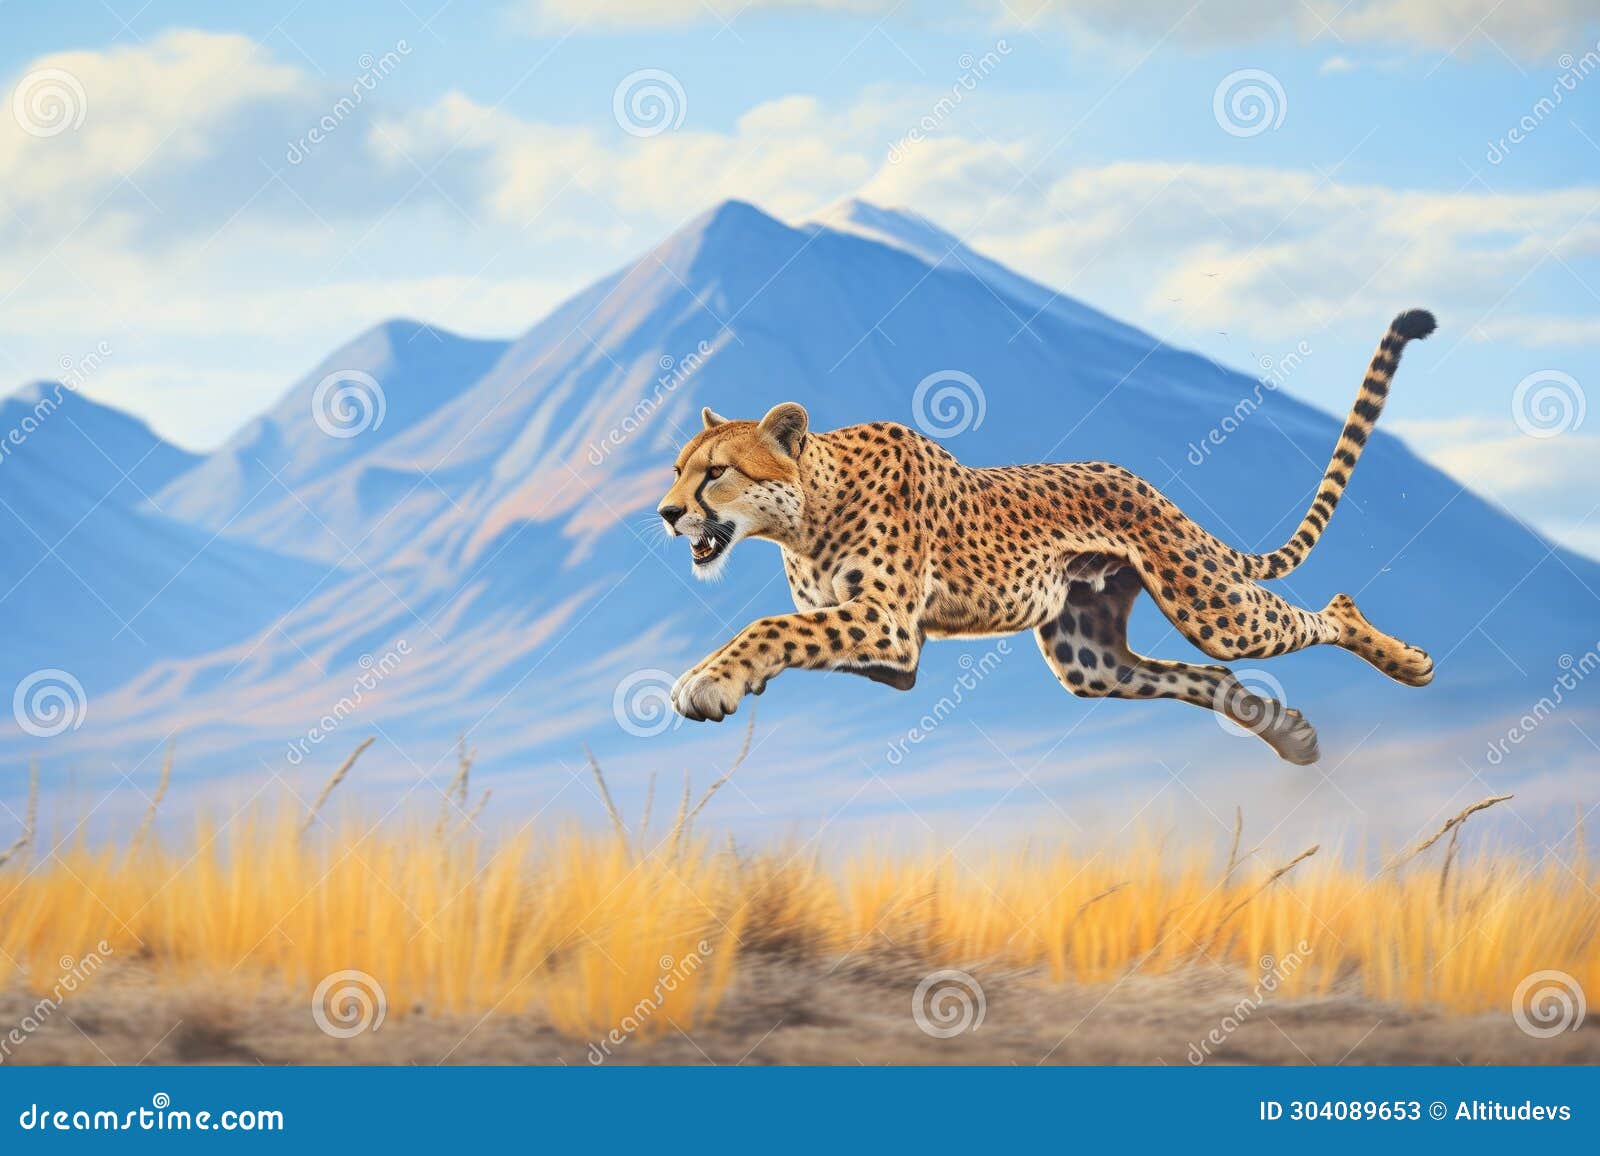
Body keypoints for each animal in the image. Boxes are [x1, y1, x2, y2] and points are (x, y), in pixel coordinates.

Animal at [655, 309, 1438, 763]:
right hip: (1089, 660)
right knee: (1206, 675)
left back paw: (1406, 663)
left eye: (715, 473)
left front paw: (709, 680)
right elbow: (792, 630)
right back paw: (1289, 735)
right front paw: (733, 679)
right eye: (676, 468)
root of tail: (1141, 481)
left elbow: (768, 624)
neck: (807, 512)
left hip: (1213, 608)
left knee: (1313, 616)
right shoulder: (891, 655)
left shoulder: (889, 626)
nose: (665, 513)